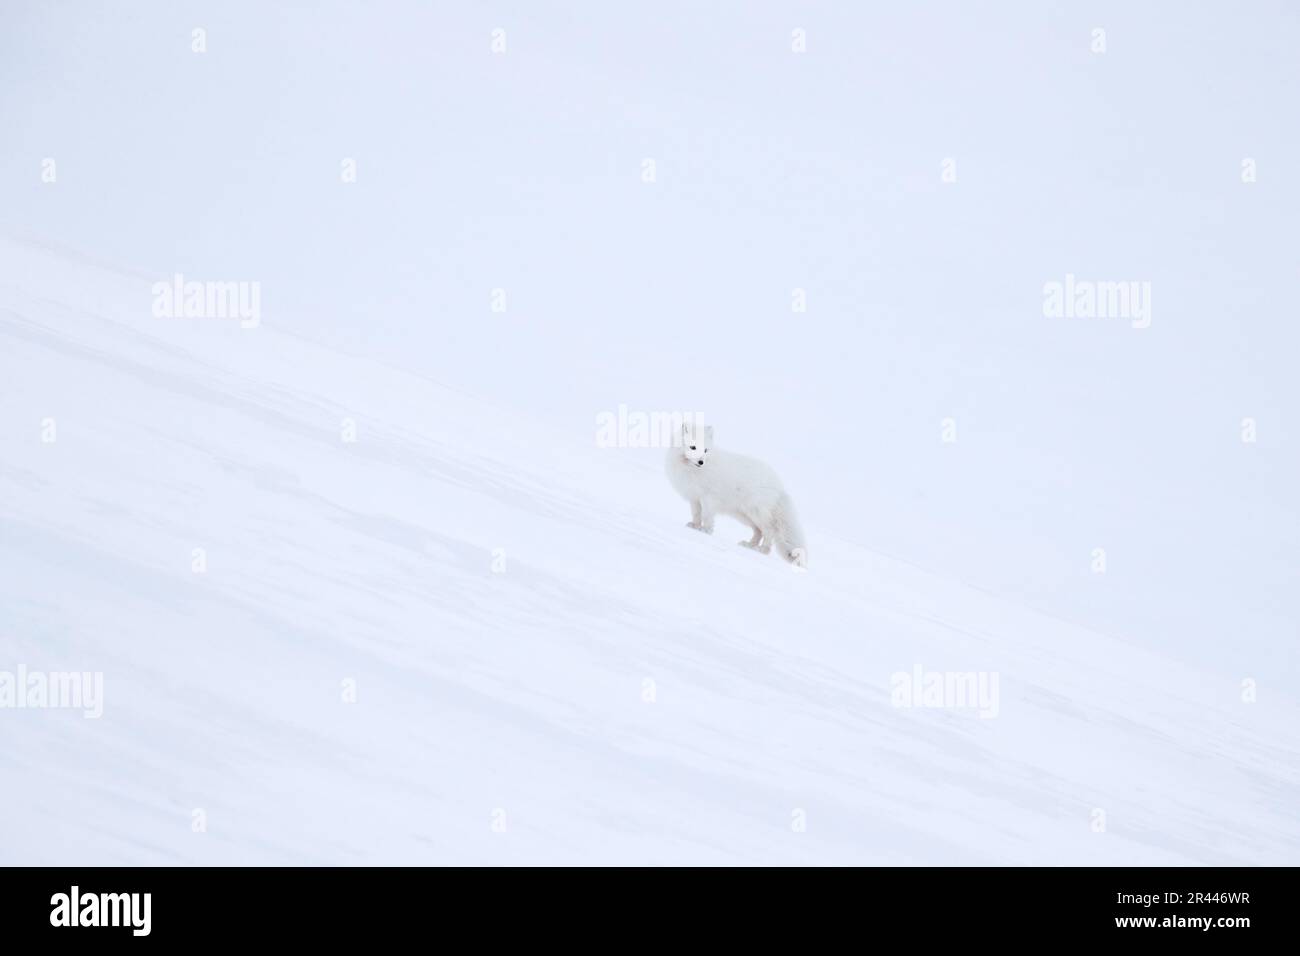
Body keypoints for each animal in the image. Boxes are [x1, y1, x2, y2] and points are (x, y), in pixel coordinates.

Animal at [665, 422, 808, 568]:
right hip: (744, 516)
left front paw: (705, 531)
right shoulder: (694, 497)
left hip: (755, 512)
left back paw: (762, 550)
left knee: (769, 530)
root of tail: (779, 486)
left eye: (705, 450)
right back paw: (749, 545)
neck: (691, 470)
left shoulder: (709, 499)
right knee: (758, 531)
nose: (701, 462)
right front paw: (694, 526)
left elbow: (707, 517)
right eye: (693, 447)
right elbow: (696, 515)